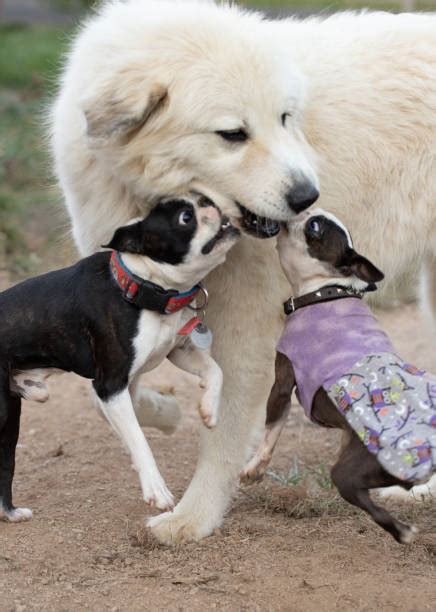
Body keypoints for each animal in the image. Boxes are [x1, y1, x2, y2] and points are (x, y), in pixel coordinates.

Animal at [0, 195, 238, 520]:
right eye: (185, 218)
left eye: (201, 200)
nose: (210, 202)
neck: (145, 286)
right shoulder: (110, 386)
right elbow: (139, 438)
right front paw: (156, 491)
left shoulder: (178, 350)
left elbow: (215, 371)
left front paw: (209, 409)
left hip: (12, 412)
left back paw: (11, 513)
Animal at [242, 209, 436, 540]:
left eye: (315, 227)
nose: (305, 209)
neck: (325, 291)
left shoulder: (281, 384)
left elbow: (270, 432)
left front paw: (254, 469)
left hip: (357, 469)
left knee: (357, 492)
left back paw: (402, 530)